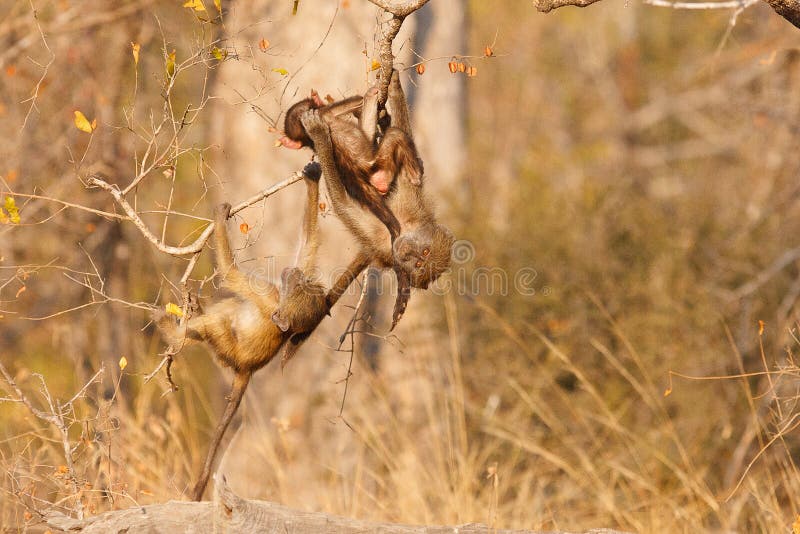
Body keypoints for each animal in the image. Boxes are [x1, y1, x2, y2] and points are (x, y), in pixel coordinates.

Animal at [152, 164, 328, 501]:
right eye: (300, 283)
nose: (291, 274)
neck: (279, 309)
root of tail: (246, 370)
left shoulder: (268, 295)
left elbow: (230, 273)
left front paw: (220, 216)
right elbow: (309, 243)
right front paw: (312, 177)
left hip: (225, 351)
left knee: (217, 324)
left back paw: (176, 332)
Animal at [279, 87, 424, 244]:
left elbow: (366, 132)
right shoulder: (325, 112)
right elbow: (357, 101)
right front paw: (371, 94)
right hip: (382, 165)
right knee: (396, 134)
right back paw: (415, 173)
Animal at [301, 71, 454, 329]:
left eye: (420, 264)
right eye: (423, 254)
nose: (408, 255)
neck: (406, 227)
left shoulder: (381, 240)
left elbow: (341, 202)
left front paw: (319, 136)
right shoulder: (408, 199)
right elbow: (404, 130)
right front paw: (393, 87)